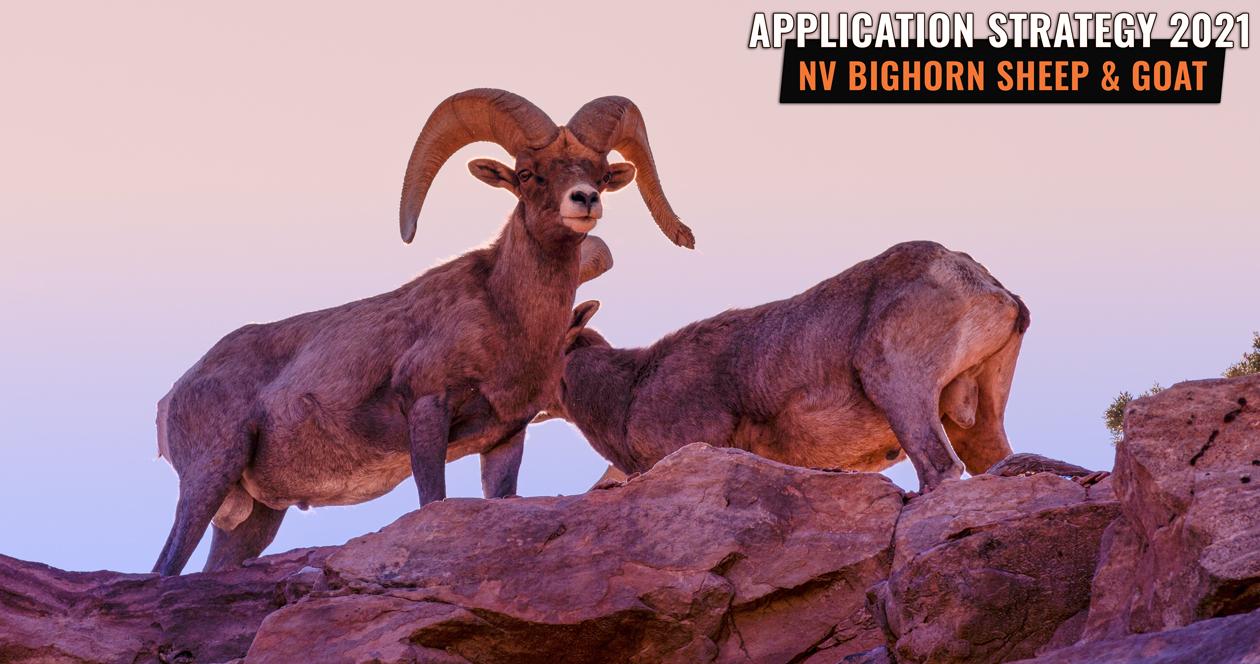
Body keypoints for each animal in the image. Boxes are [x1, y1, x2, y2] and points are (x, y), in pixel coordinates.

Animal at [151, 89, 694, 576]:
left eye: (600, 172)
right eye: (526, 174)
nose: (585, 200)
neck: (507, 318)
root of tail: (172, 396)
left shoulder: (505, 439)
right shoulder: (427, 409)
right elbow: (432, 499)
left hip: (255, 516)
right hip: (210, 474)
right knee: (165, 566)